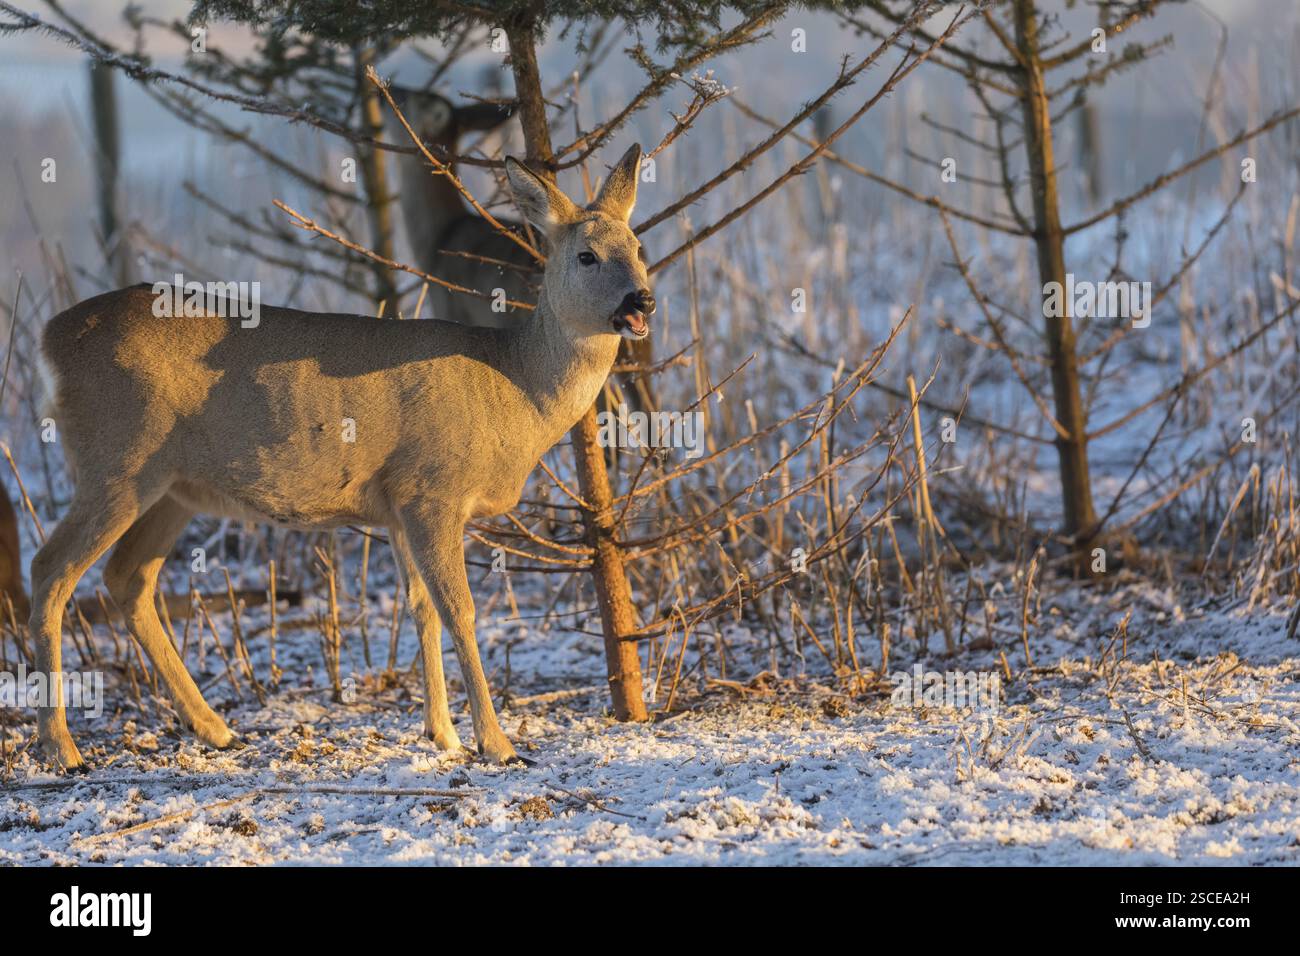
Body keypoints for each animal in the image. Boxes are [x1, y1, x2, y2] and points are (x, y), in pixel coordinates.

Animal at [30, 144, 653, 770]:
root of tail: (49, 339)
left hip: (173, 488)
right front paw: (496, 744)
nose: (641, 299)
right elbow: (460, 609)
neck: (515, 390)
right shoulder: (432, 490)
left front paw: (443, 735)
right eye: (587, 255)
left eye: (639, 248)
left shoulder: (398, 503)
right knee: (51, 570)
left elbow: (420, 606)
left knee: (128, 577)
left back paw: (218, 730)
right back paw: (62, 748)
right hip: (119, 460)